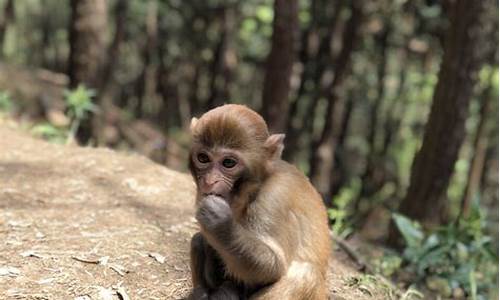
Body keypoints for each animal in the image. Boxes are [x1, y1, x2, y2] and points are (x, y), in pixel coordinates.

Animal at [188, 104, 332, 298]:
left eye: (228, 163)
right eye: (203, 158)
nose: (210, 181)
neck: (253, 189)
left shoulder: (276, 195)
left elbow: (274, 265)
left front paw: (220, 224)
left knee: (304, 275)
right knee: (197, 240)